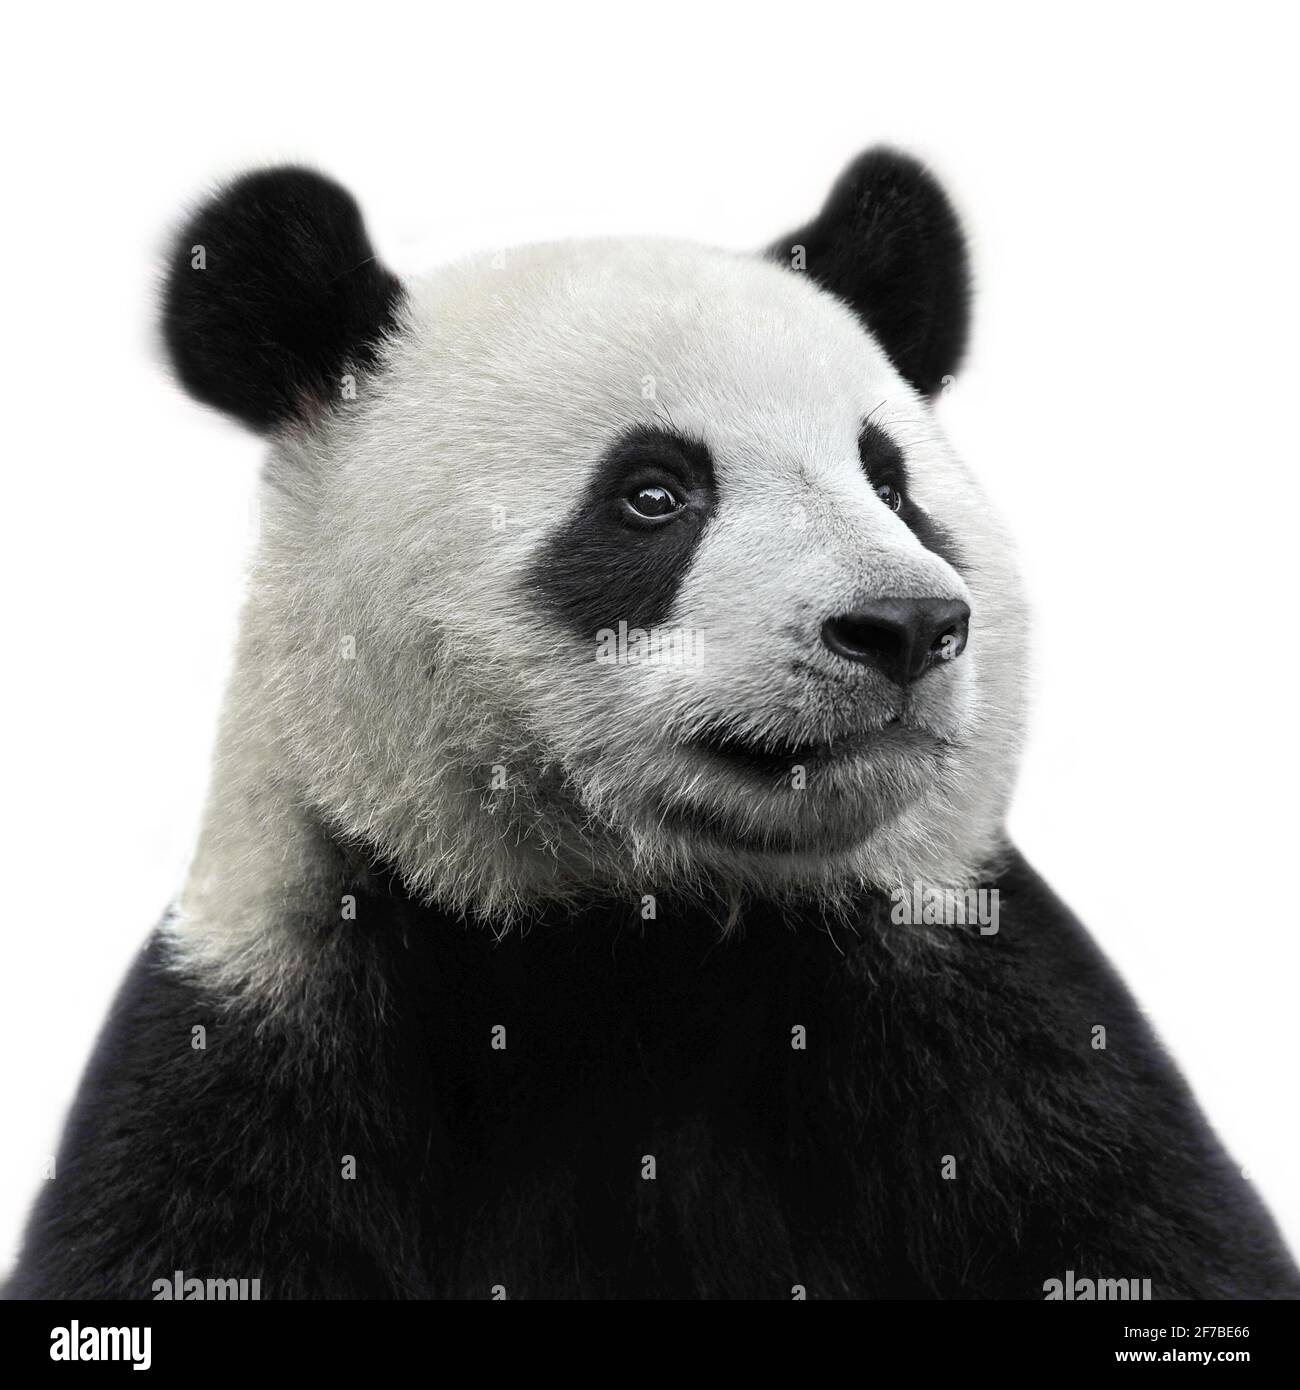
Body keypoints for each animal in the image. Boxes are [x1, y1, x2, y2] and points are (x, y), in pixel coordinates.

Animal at [5, 149, 1297, 1301]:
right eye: (653, 493)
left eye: (889, 482)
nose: (906, 625)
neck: (637, 931)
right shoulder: (272, 1025)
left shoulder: (983, 1026)